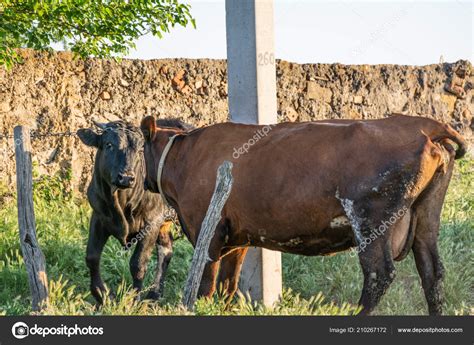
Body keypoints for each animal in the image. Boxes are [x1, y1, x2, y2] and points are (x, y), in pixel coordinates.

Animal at [139, 114, 464, 314]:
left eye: (138, 147)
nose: (131, 180)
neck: (186, 156)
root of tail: (418, 124)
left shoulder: (209, 232)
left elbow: (205, 284)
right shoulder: (237, 240)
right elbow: (227, 286)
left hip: (370, 220)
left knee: (378, 274)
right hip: (426, 219)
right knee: (432, 272)